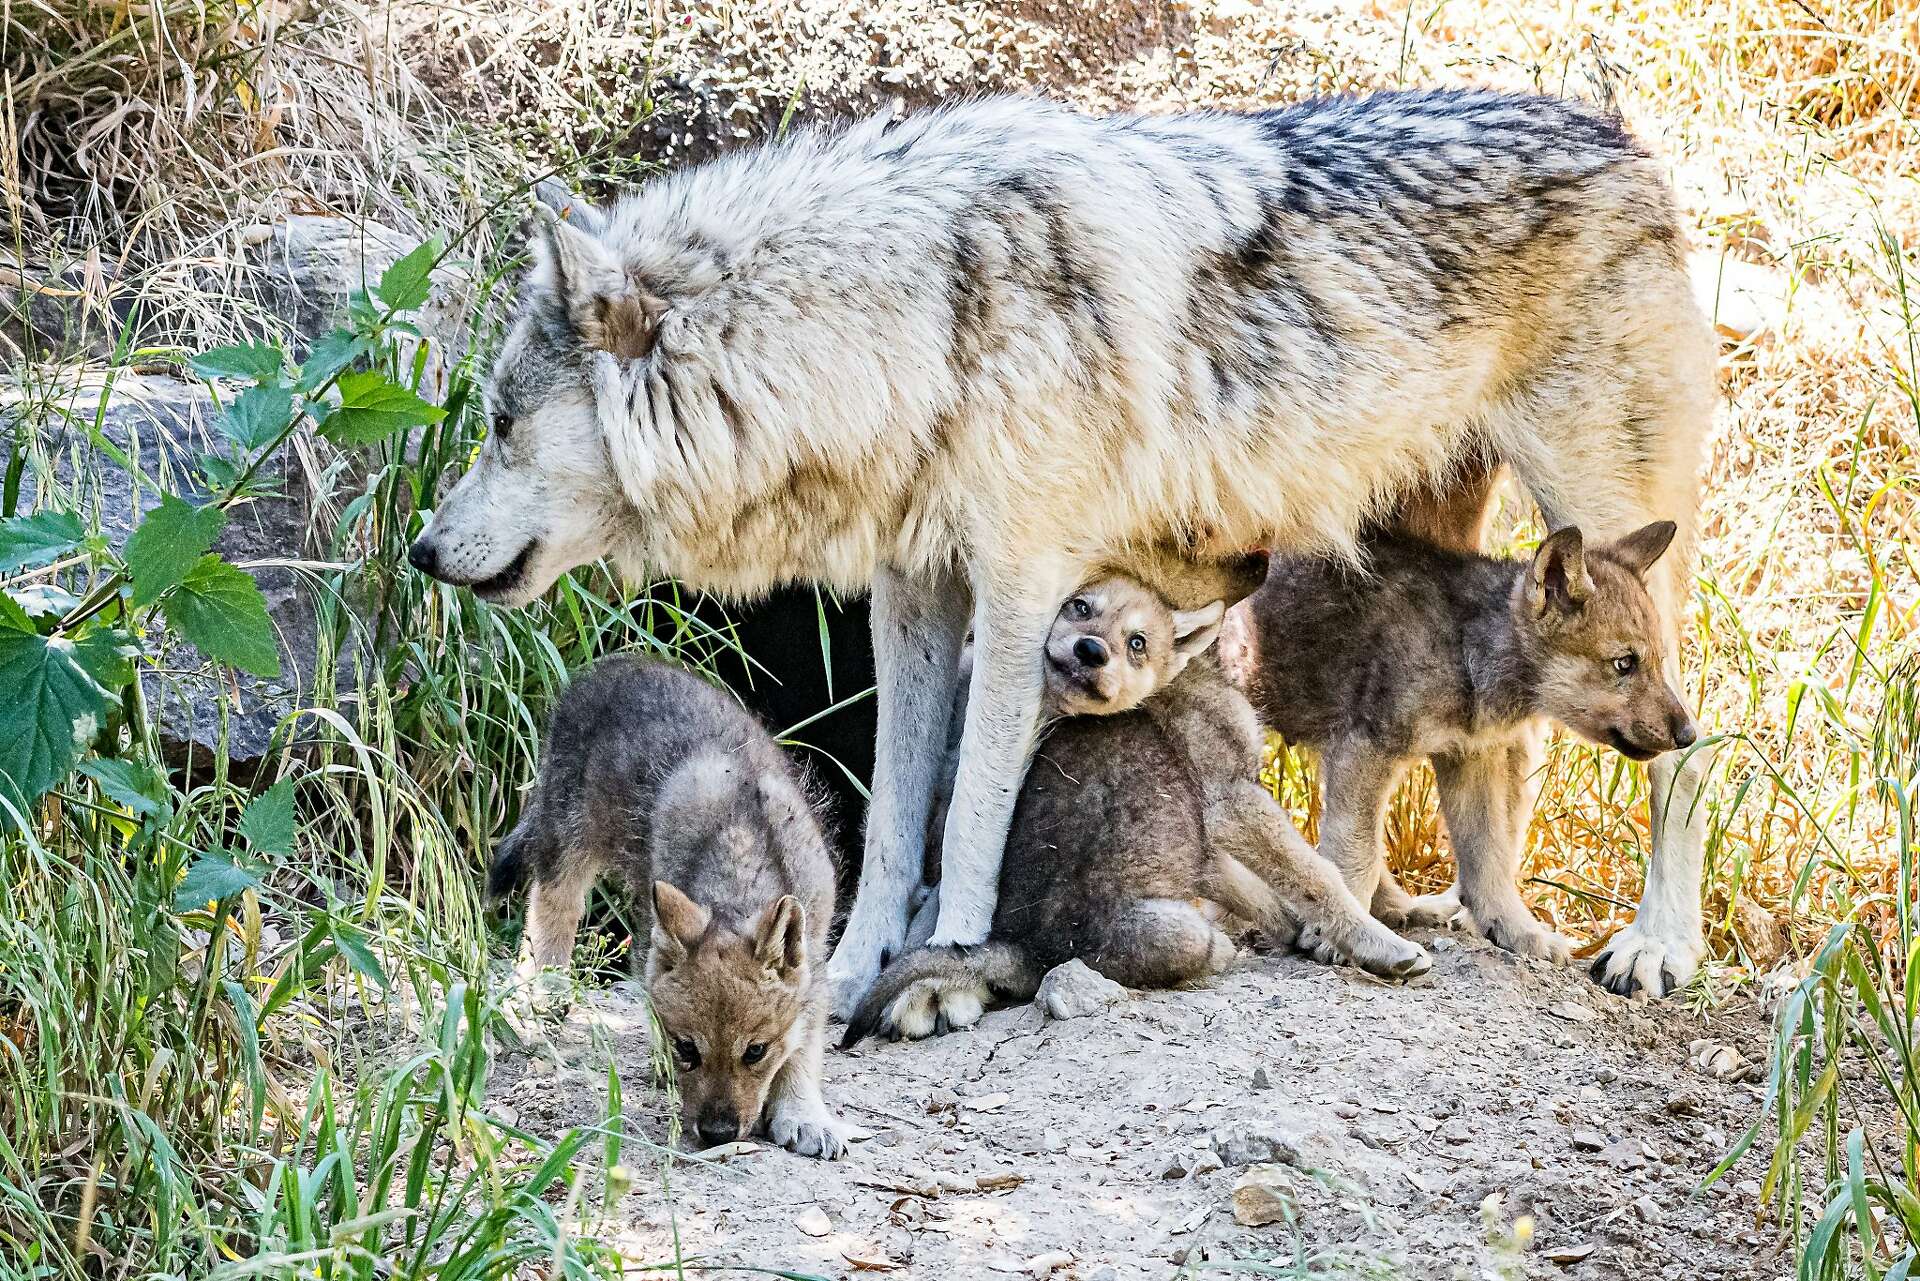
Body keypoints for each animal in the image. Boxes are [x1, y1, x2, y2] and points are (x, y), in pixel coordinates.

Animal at [489, 654, 845, 1158]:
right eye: (688, 1049)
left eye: (755, 1051)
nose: (717, 1134)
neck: (739, 856)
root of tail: (614, 663)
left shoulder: (814, 956)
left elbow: (802, 1046)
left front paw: (804, 1114)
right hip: (568, 837)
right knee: (550, 907)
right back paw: (542, 990)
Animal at [846, 571, 1430, 1044]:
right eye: (1081, 607)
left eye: (1138, 642)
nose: (1090, 651)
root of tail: (1029, 945)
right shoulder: (1231, 799)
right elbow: (1317, 878)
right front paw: (1381, 946)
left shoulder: (1209, 842)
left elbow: (1264, 890)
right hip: (1179, 929)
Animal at [1222, 522, 1694, 981]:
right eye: (1624, 664)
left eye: (1659, 663)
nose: (1689, 734)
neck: (1465, 650)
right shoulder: (1365, 749)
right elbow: (1357, 854)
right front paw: (1336, 939)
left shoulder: (1470, 759)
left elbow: (1488, 859)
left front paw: (1518, 931)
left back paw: (1403, 909)